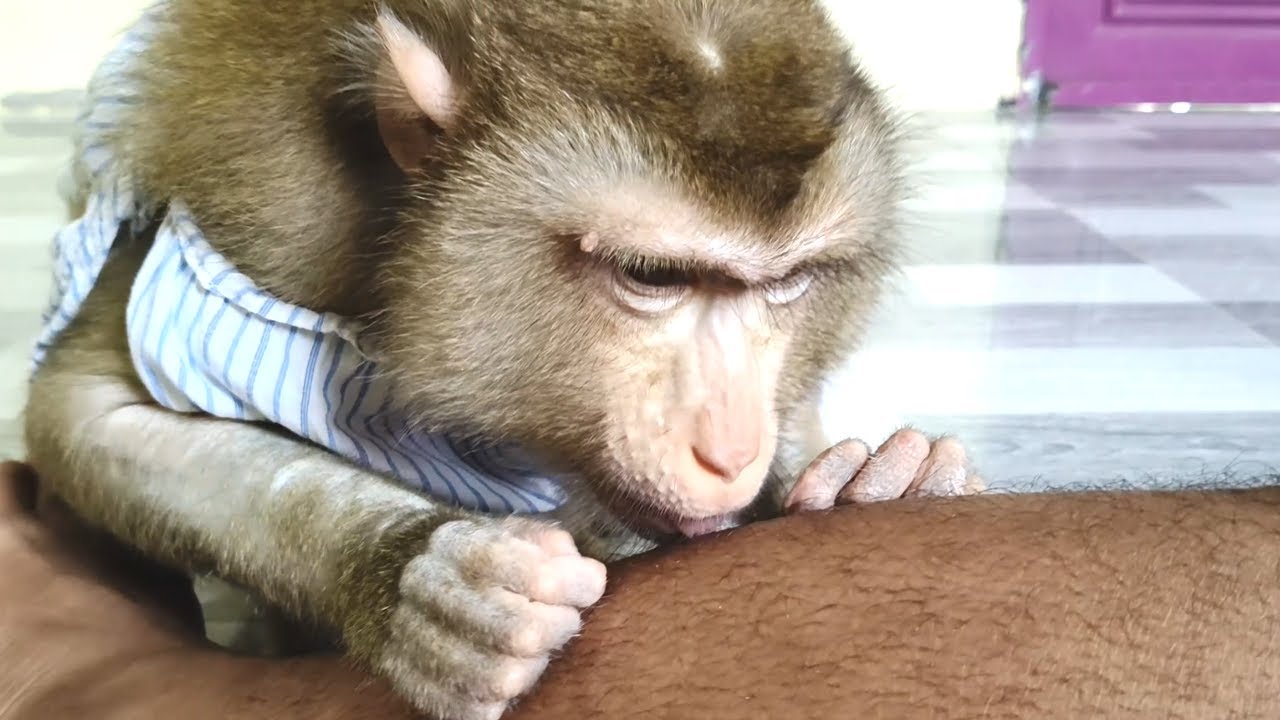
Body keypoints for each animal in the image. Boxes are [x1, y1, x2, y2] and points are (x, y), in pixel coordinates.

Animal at [23, 1, 985, 718]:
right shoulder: (257, 218)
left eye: (787, 284)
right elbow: (86, 409)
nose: (731, 450)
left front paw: (883, 477)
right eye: (653, 275)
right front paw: (423, 581)